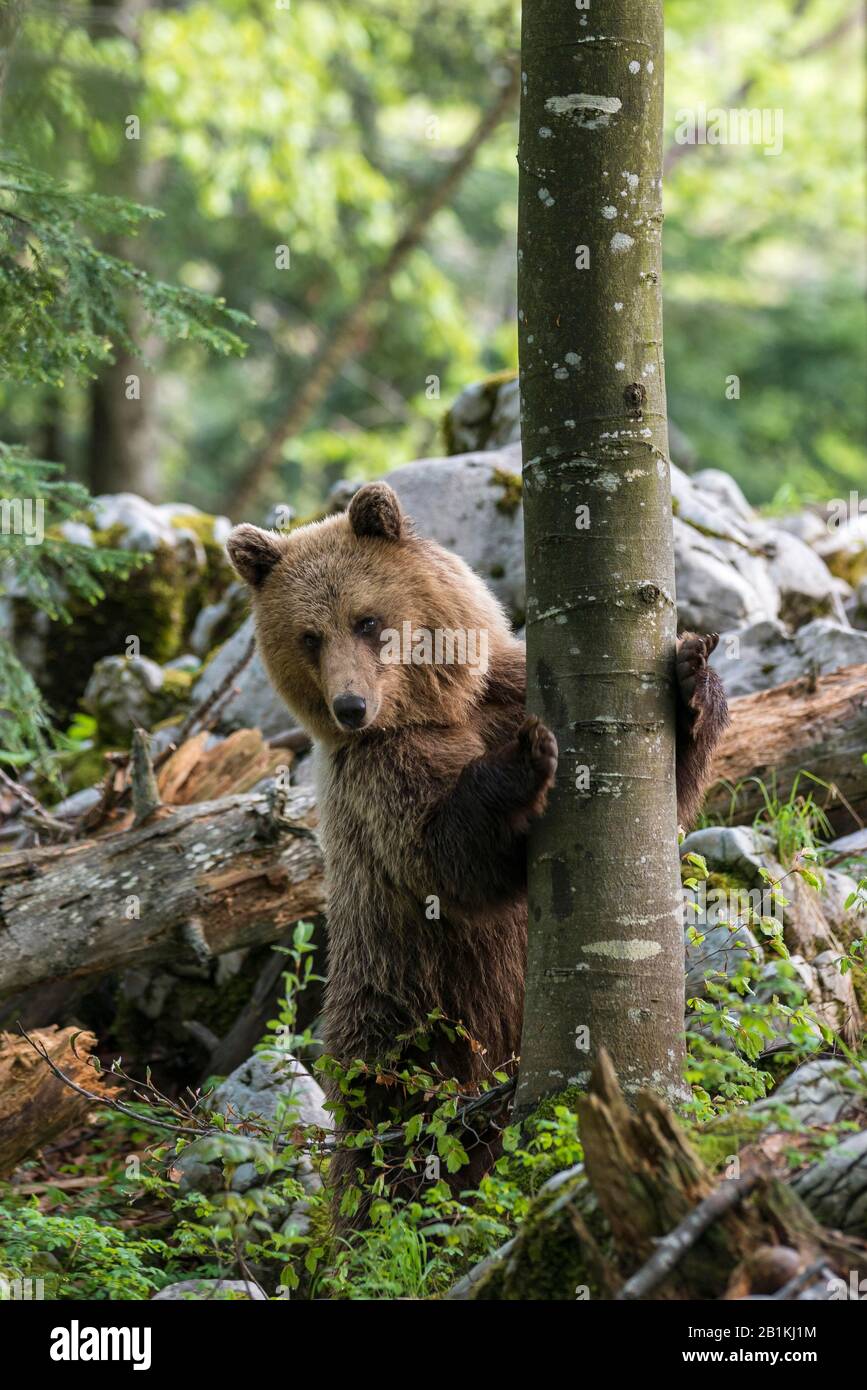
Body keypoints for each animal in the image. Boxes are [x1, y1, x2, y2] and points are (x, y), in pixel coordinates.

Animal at [227, 481, 729, 1218]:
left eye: (366, 620)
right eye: (309, 637)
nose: (350, 706)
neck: (436, 708)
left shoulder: (507, 688)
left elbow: (674, 781)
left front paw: (693, 670)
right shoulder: (377, 781)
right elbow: (449, 858)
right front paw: (524, 757)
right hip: (406, 1005)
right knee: (393, 1125)